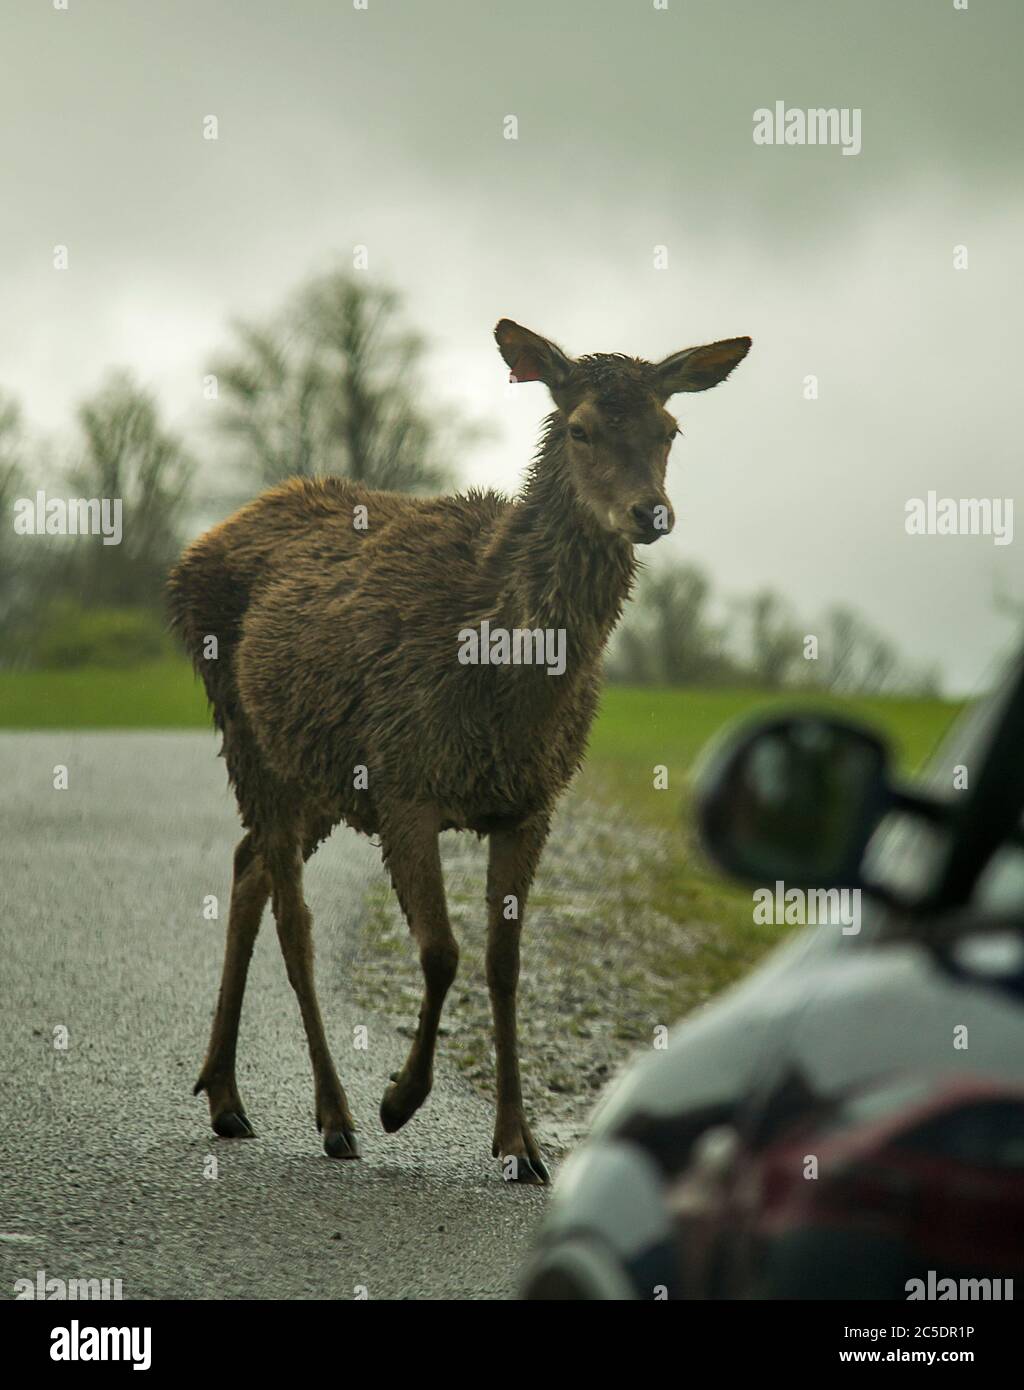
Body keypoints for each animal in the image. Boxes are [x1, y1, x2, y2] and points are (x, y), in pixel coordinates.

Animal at [167, 318, 751, 1183]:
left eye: (669, 429)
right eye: (580, 428)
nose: (651, 512)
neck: (504, 677)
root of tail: (191, 554)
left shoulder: (531, 802)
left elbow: (504, 966)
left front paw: (520, 1145)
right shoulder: (405, 779)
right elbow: (441, 951)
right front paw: (399, 1100)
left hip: (312, 773)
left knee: (249, 867)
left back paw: (225, 1095)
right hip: (246, 733)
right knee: (294, 916)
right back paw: (334, 1115)